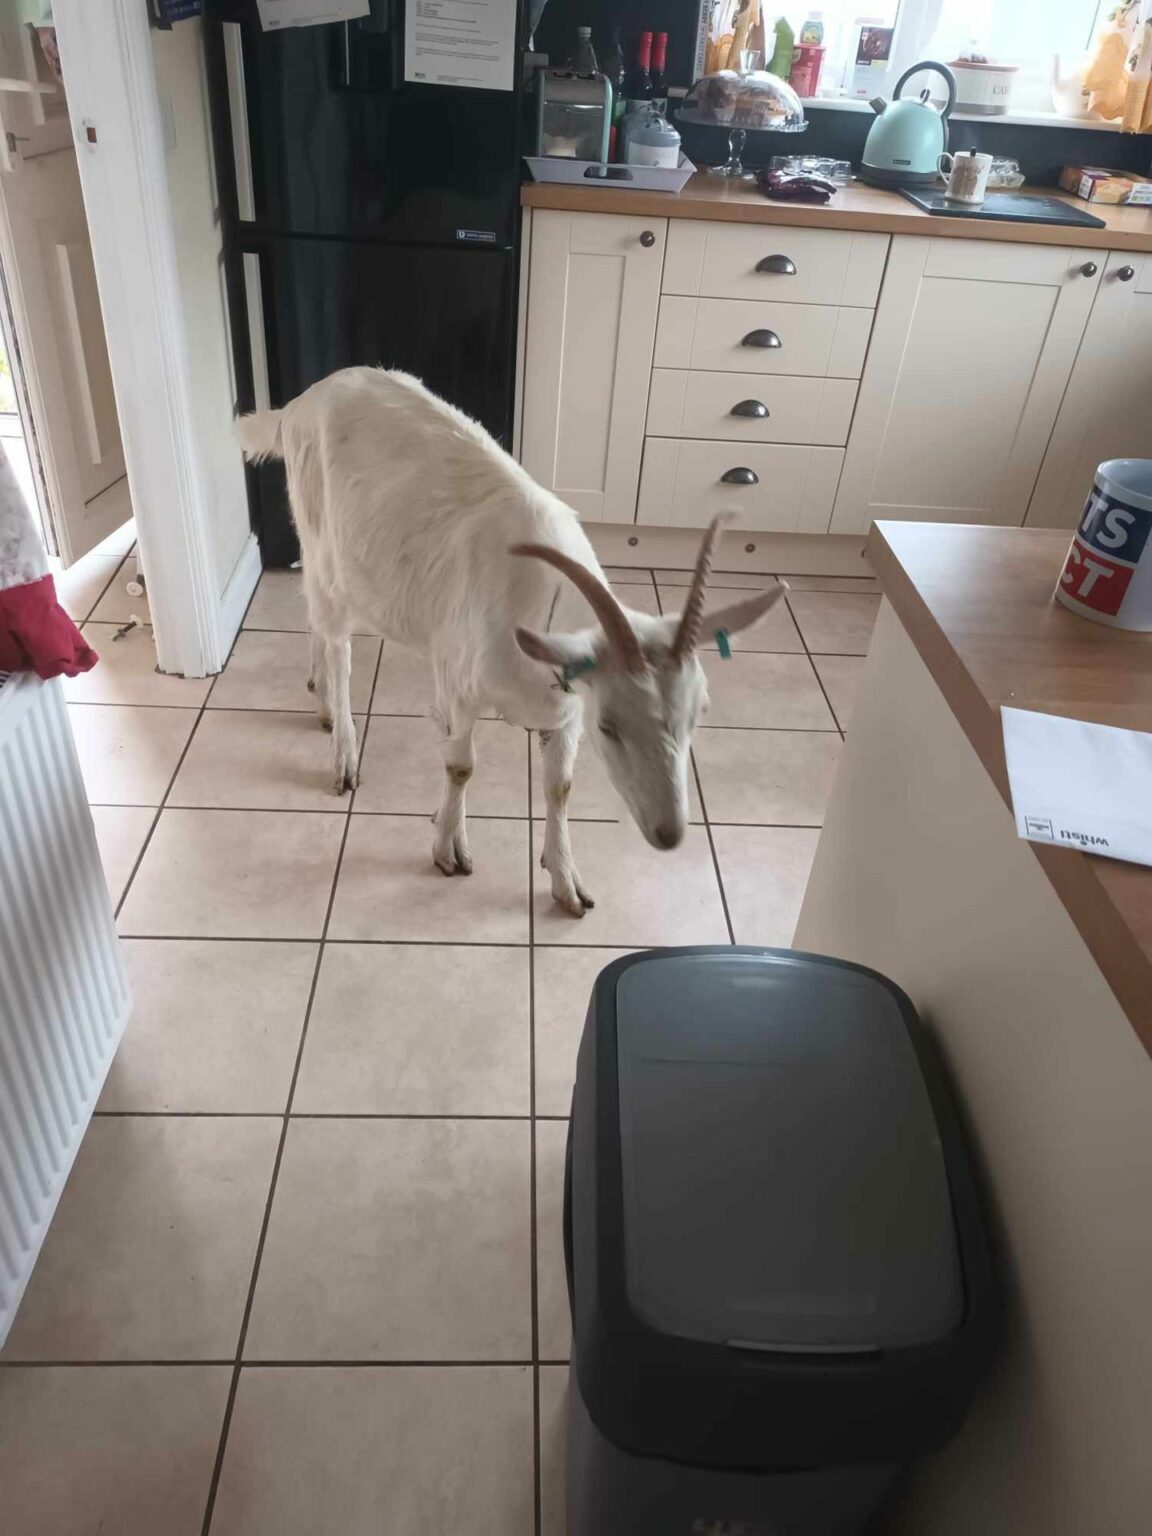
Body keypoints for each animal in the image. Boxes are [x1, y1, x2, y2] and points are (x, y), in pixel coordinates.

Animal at [237, 367, 785, 916]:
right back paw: (343, 747)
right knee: (337, 638)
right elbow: (460, 767)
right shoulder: (459, 689)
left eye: (699, 715)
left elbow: (560, 787)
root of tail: (303, 401)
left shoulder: (565, 711)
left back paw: (321, 699)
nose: (669, 834)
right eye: (609, 726)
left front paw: (565, 882)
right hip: (320, 542)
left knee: (316, 619)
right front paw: (448, 849)